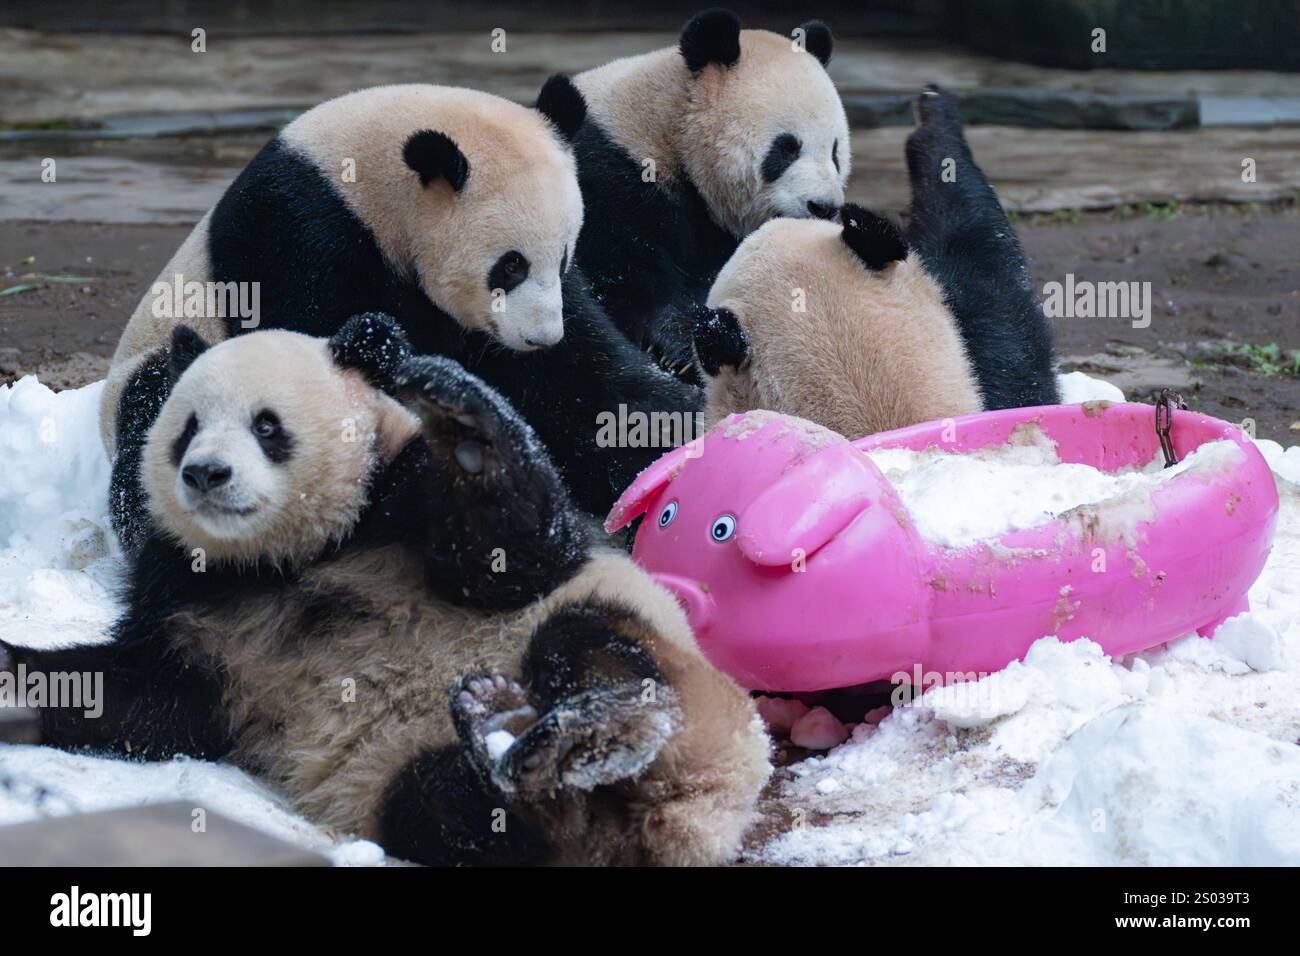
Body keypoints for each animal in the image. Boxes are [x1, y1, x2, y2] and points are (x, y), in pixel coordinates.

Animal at [3, 314, 771, 866]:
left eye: (266, 426)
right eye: (186, 428)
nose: (206, 474)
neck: (285, 559)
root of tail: (675, 821)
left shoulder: (399, 496)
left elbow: (523, 554)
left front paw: (465, 426)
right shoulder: (188, 593)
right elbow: (151, 698)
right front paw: (14, 676)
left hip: (700, 698)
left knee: (588, 641)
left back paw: (596, 732)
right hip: (404, 774)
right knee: (453, 812)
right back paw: (525, 770)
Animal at [548, 8, 850, 376]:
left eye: (835, 151)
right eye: (787, 148)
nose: (824, 206)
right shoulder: (610, 179)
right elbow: (619, 281)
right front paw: (679, 352)